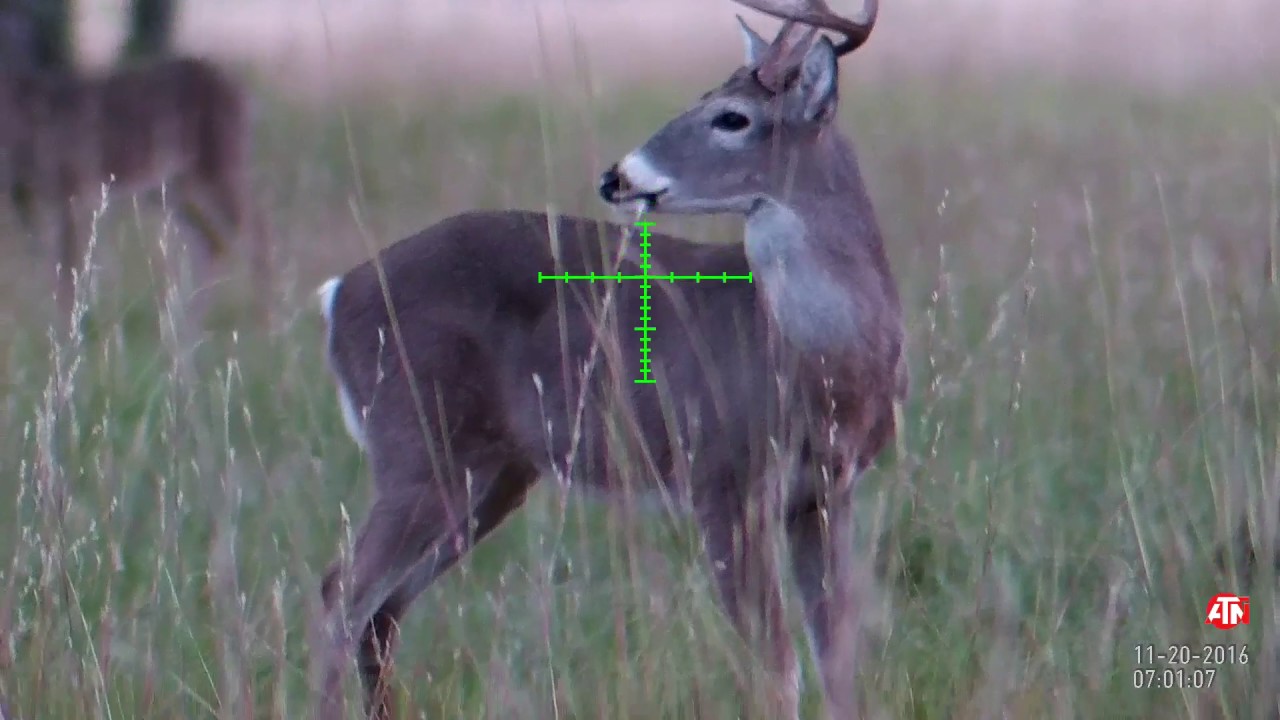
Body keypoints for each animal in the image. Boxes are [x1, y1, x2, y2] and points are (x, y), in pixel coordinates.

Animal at [0, 54, 269, 324]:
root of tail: (243, 93)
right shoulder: (34, 202)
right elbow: (51, 273)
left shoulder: (72, 191)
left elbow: (68, 275)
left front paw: (68, 330)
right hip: (176, 190)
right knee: (213, 242)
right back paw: (184, 326)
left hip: (221, 166)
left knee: (258, 235)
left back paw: (266, 325)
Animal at [315, 0, 903, 718]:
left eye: (731, 117)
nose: (616, 177)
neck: (823, 365)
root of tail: (338, 297)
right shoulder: (720, 478)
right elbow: (777, 668)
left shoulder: (823, 494)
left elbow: (837, 660)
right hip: (417, 448)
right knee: (339, 597)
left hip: (492, 473)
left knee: (380, 611)